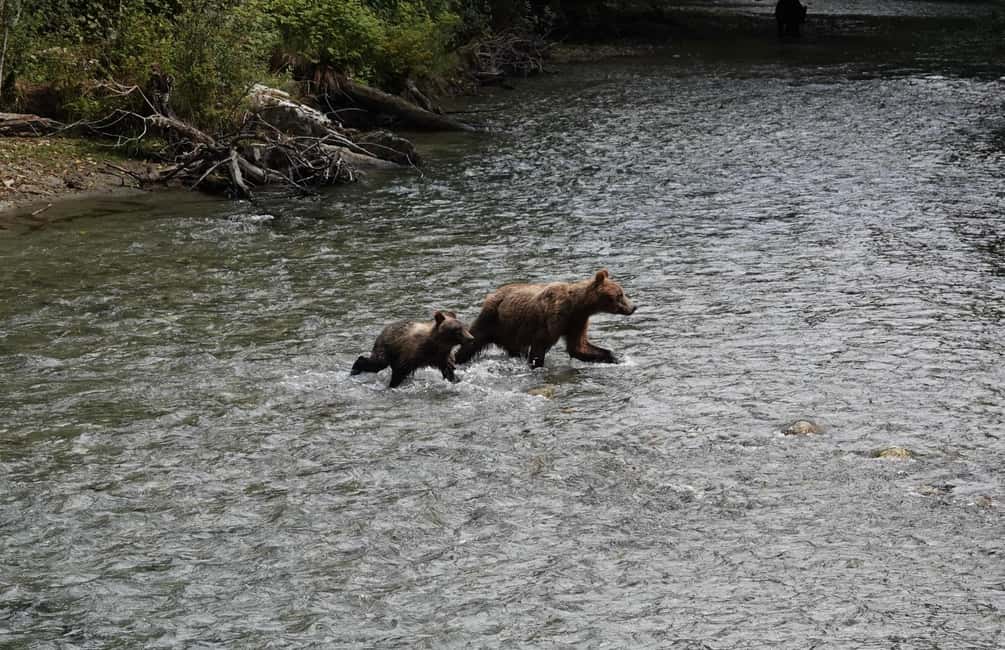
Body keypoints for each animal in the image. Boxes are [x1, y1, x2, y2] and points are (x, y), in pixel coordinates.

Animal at [454, 269, 636, 369]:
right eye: (620, 294)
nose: (634, 307)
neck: (577, 306)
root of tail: (491, 295)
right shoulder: (554, 318)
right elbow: (540, 346)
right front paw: (537, 365)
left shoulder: (576, 321)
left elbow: (579, 347)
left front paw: (615, 358)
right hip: (492, 319)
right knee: (471, 343)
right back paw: (457, 360)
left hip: (511, 332)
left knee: (516, 350)